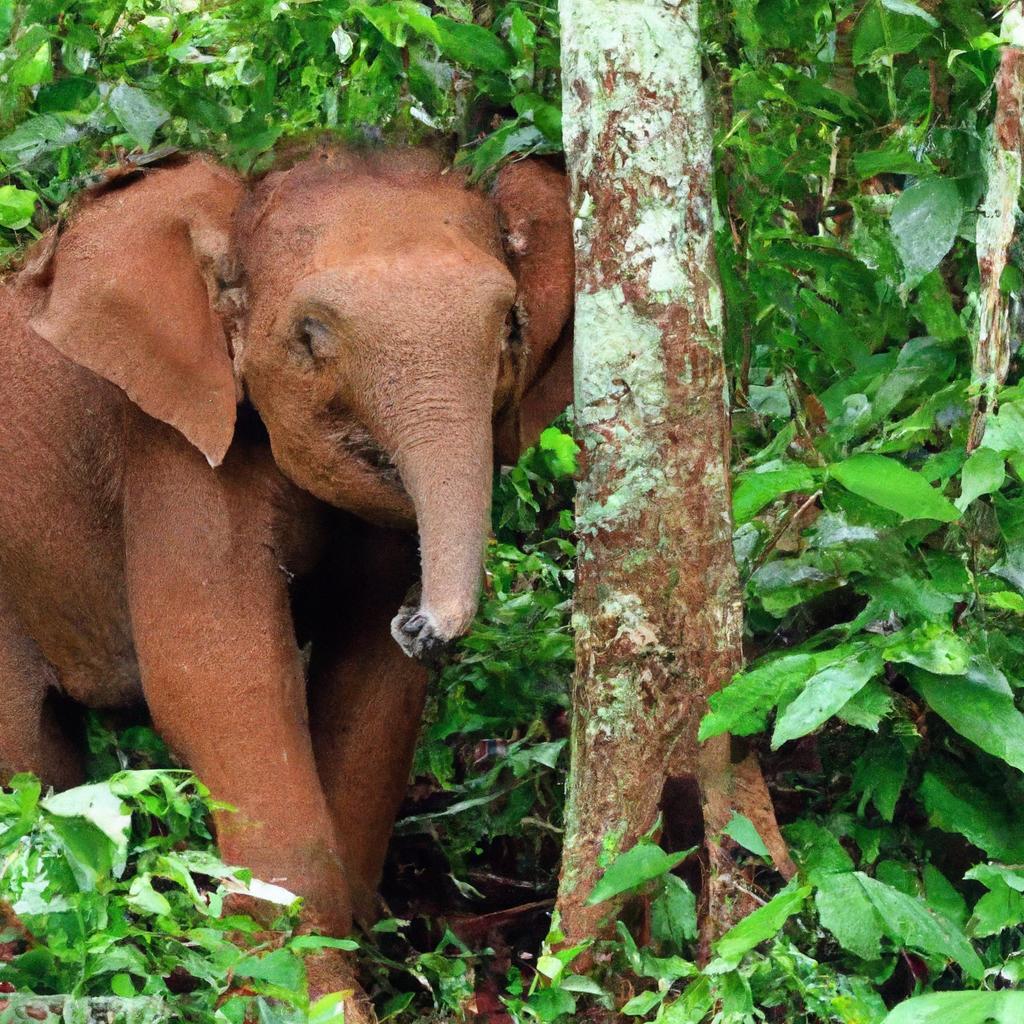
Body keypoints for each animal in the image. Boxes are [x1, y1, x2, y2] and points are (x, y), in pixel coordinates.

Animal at [0, 146, 573, 961]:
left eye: (513, 329)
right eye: (310, 334)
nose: (420, 624)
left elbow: (371, 682)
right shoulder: (173, 452)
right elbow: (215, 680)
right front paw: (309, 981)